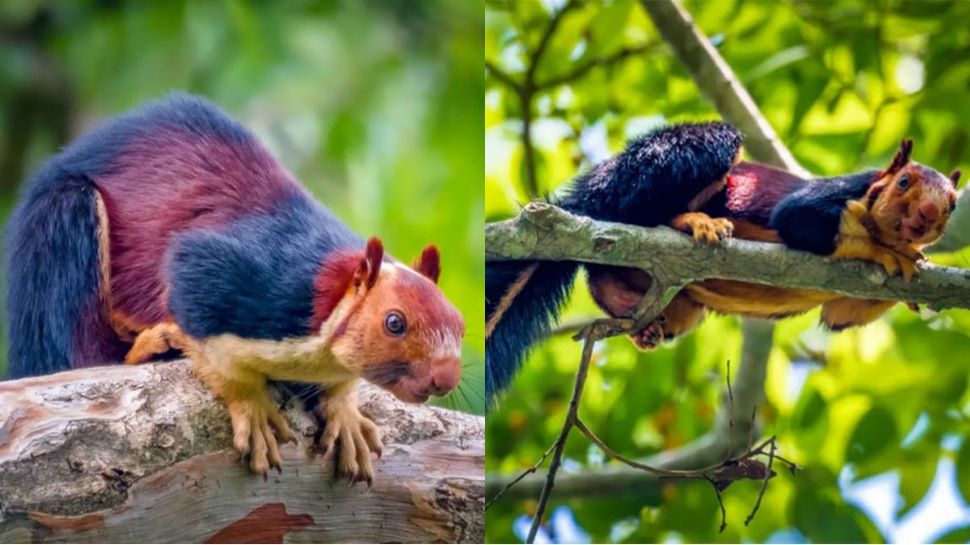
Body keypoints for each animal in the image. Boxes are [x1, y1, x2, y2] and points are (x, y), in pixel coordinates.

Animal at [5, 93, 465, 483]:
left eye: (461, 324)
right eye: (394, 322)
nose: (445, 378)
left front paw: (346, 411)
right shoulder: (236, 277)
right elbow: (209, 336)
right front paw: (251, 405)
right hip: (63, 229)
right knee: (76, 353)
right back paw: (150, 346)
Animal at [486, 121, 959, 401]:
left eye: (953, 204)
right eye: (904, 181)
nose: (927, 216)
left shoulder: (845, 305)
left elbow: (843, 313)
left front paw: (912, 261)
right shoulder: (839, 192)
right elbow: (802, 220)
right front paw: (887, 250)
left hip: (671, 305)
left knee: (613, 283)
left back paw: (636, 318)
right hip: (670, 162)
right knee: (643, 210)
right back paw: (693, 221)